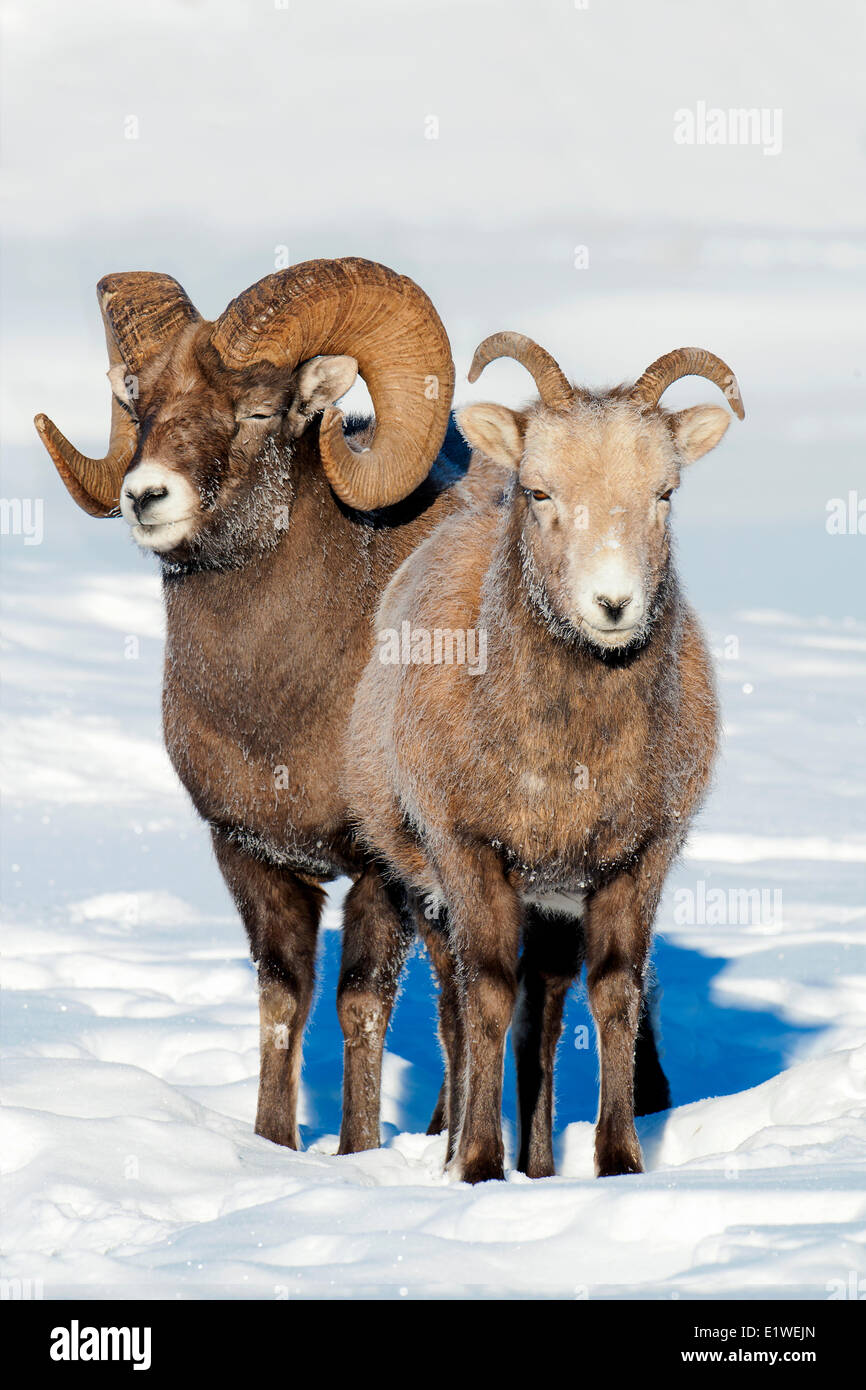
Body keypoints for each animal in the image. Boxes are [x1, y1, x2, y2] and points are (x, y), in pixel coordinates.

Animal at [346, 333, 744, 1183]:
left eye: (664, 493)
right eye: (539, 491)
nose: (613, 605)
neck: (570, 764)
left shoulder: (636, 859)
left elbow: (616, 997)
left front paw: (619, 1160)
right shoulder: (470, 854)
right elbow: (487, 999)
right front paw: (475, 1164)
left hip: (553, 903)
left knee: (548, 1015)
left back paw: (538, 1162)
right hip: (430, 887)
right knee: (458, 1008)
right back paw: (457, 1148)